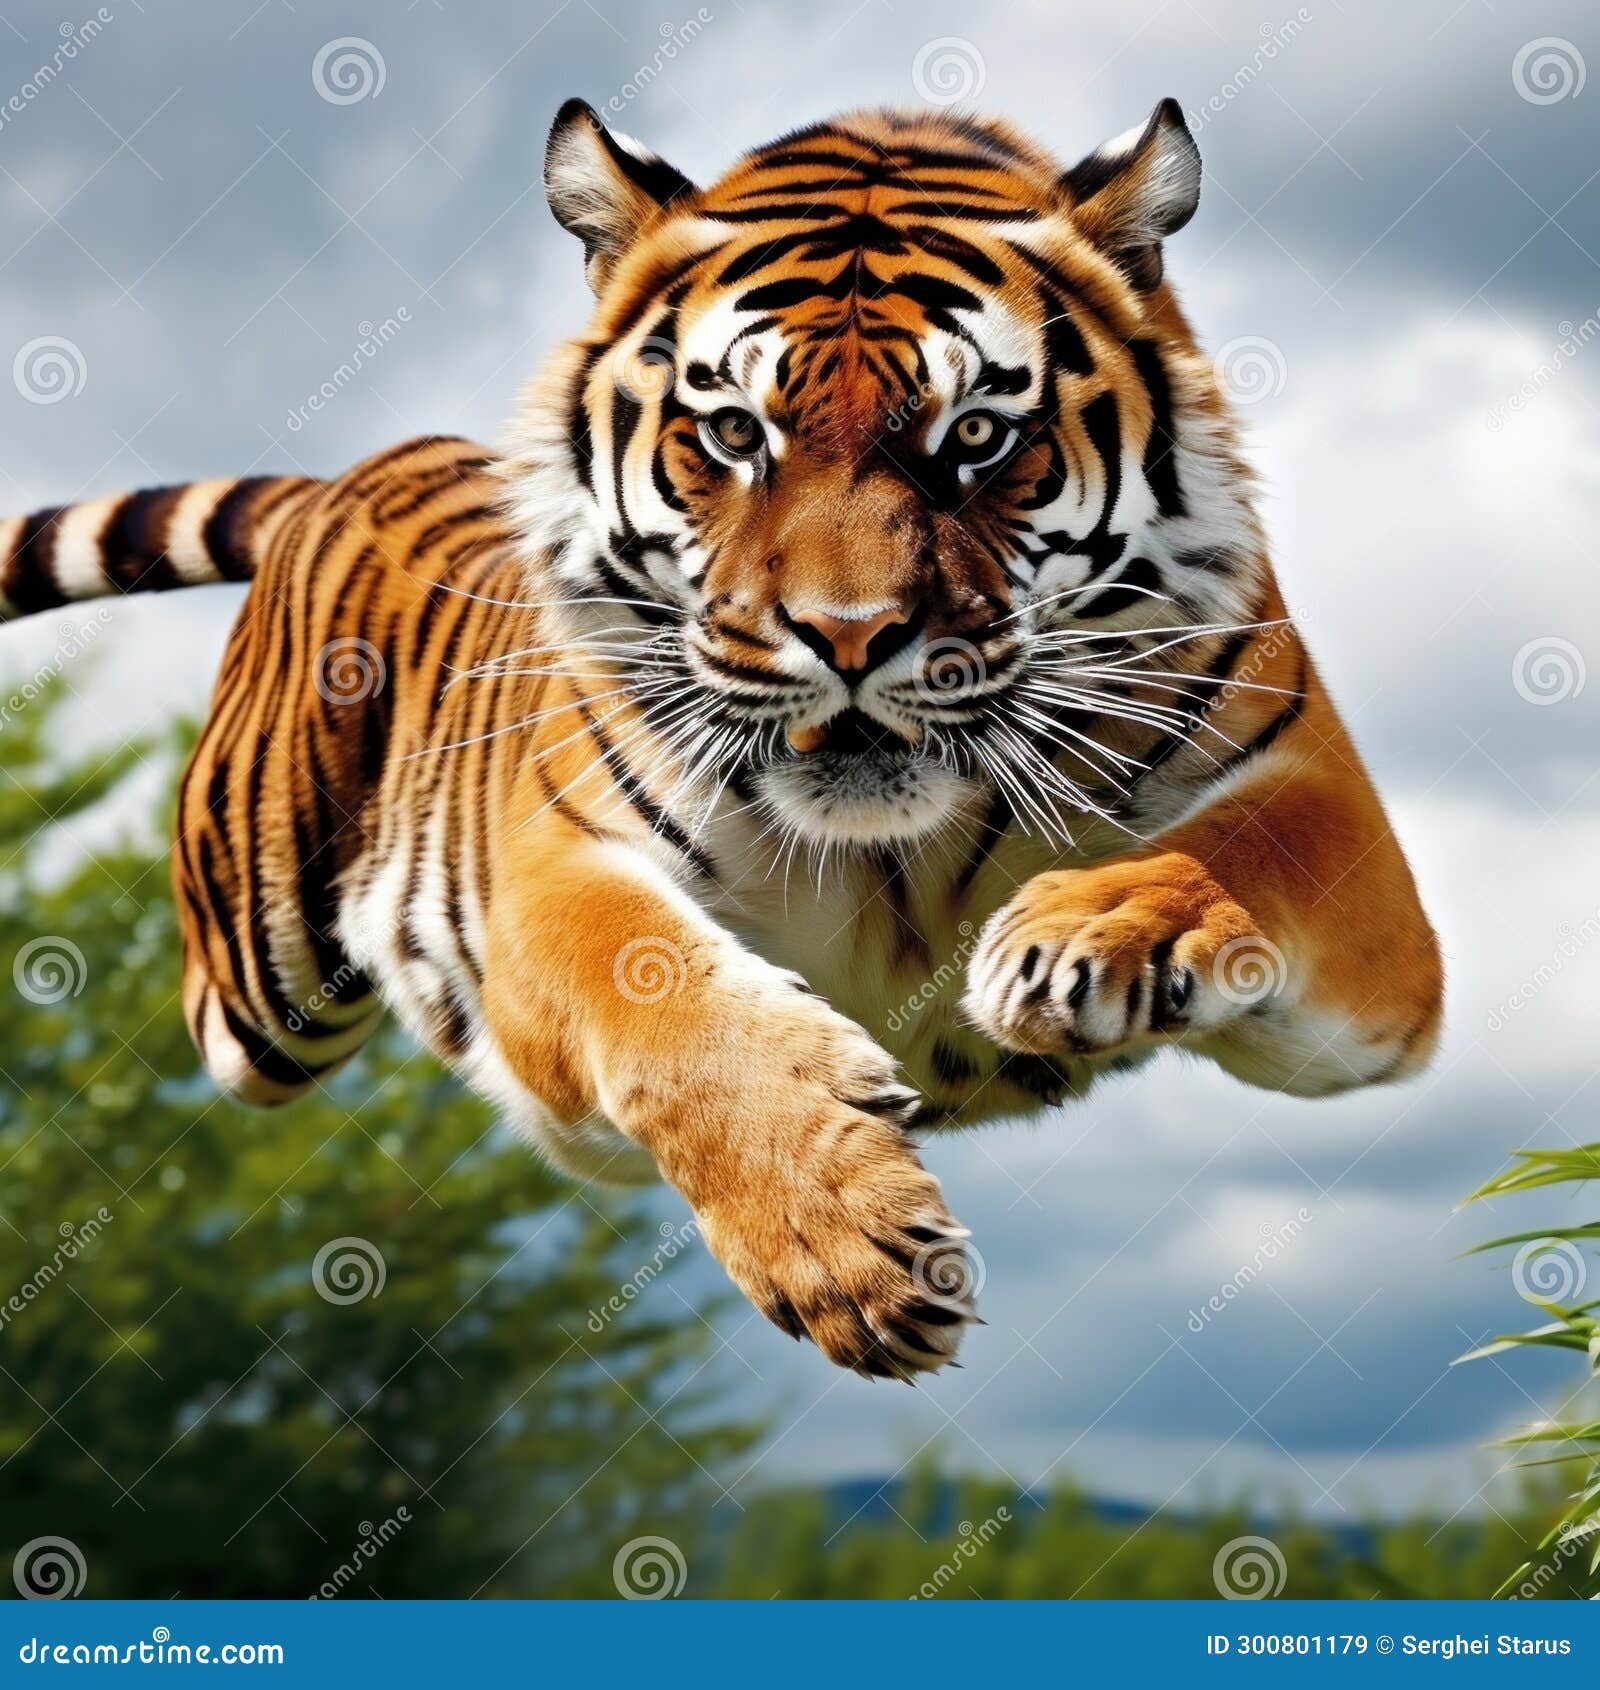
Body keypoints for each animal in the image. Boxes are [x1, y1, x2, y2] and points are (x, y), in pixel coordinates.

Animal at [0, 99, 1442, 1380]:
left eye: (978, 435)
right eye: (735, 433)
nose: (851, 636)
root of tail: (351, 474)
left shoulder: (1339, 846)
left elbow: (1238, 856)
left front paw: (1101, 931)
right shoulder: (559, 857)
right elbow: (654, 997)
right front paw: (845, 1245)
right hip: (261, 987)